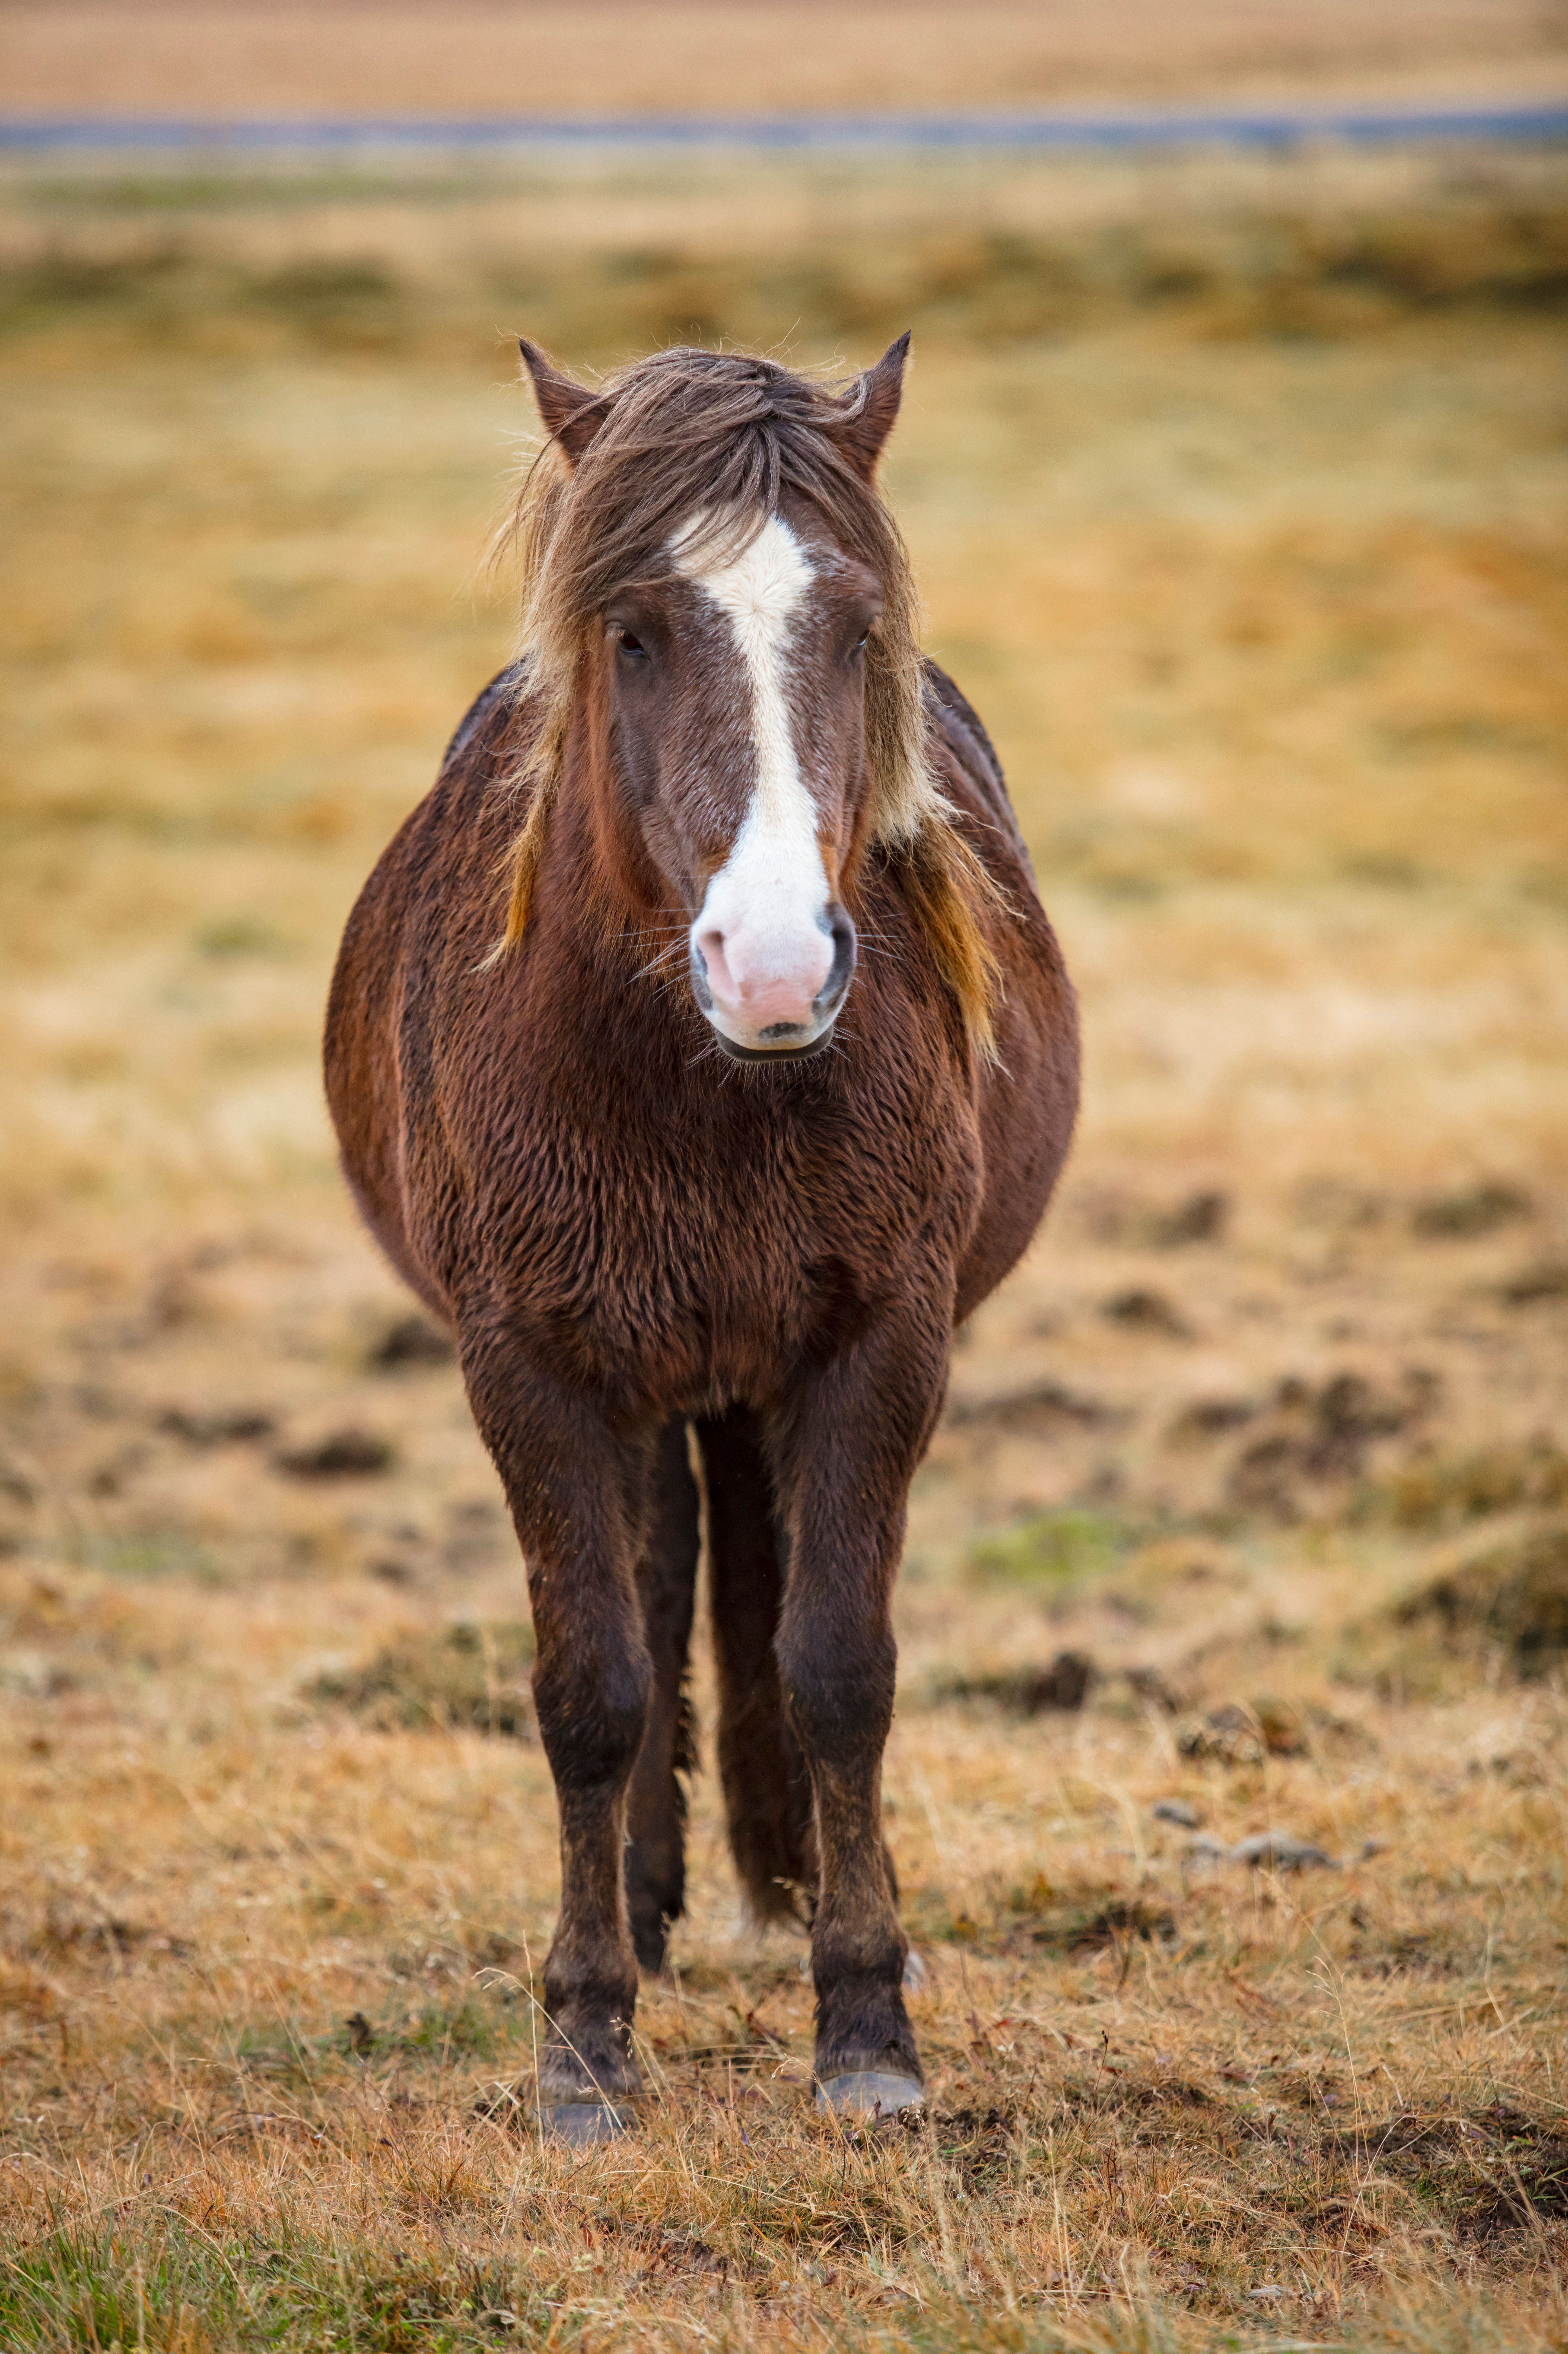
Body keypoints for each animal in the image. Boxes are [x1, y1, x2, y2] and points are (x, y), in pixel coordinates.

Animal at [324, 336, 1080, 2139]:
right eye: (633, 632)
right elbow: (590, 1683)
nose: (779, 964)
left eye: (861, 627)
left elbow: (839, 1663)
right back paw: (658, 1900)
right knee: (661, 1586)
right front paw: (585, 2037)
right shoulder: (529, 1366)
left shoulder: (882, 1344)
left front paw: (866, 2022)